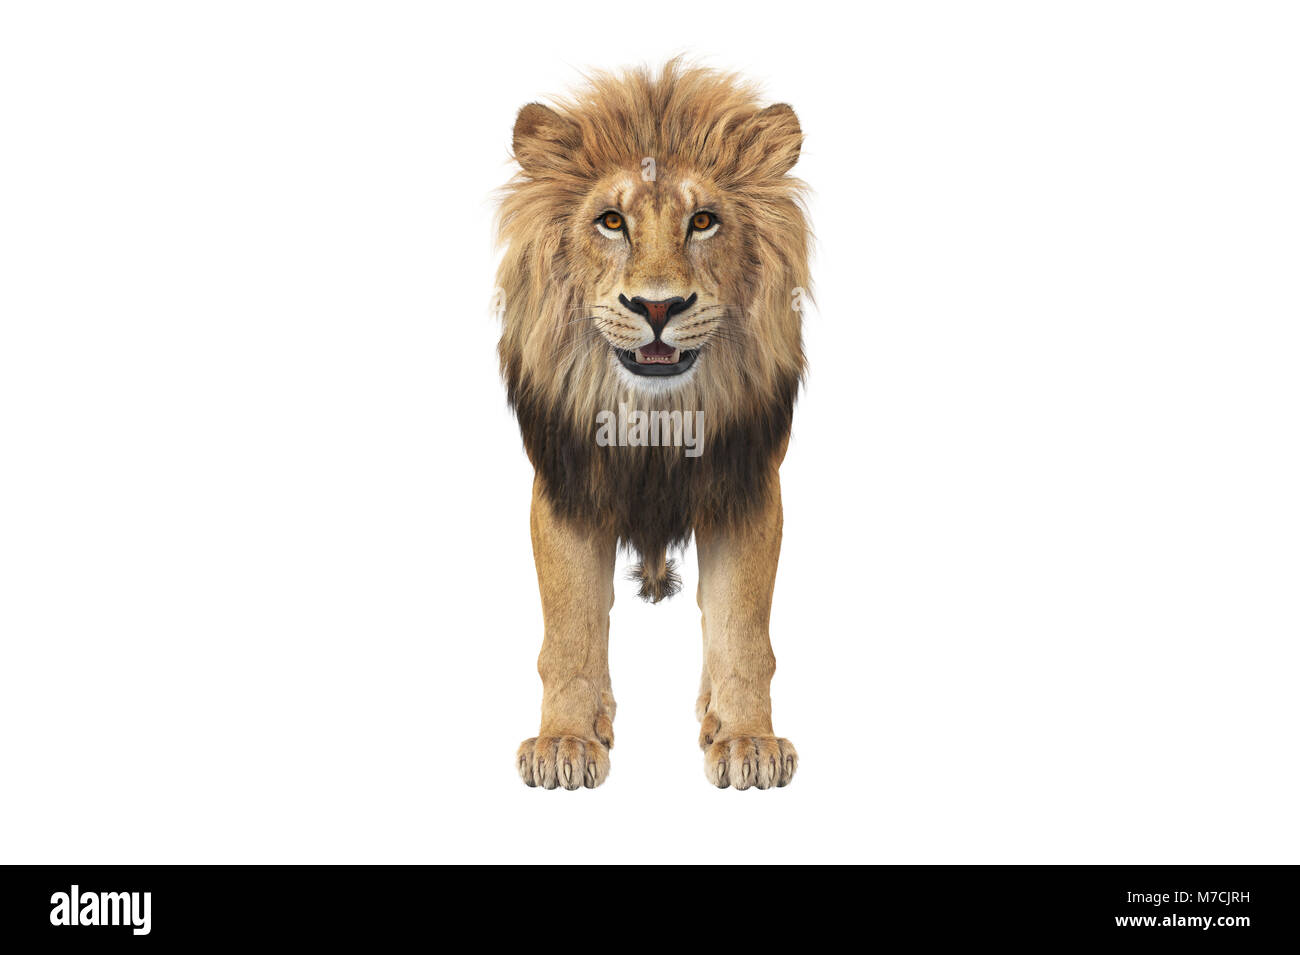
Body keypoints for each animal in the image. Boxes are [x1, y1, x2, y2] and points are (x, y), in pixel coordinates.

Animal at [495, 60, 810, 789]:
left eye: (704, 221)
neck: (656, 421)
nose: (658, 307)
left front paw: (748, 740)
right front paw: (565, 742)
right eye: (612, 221)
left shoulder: (746, 484)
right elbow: (571, 627)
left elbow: (741, 627)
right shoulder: (568, 485)